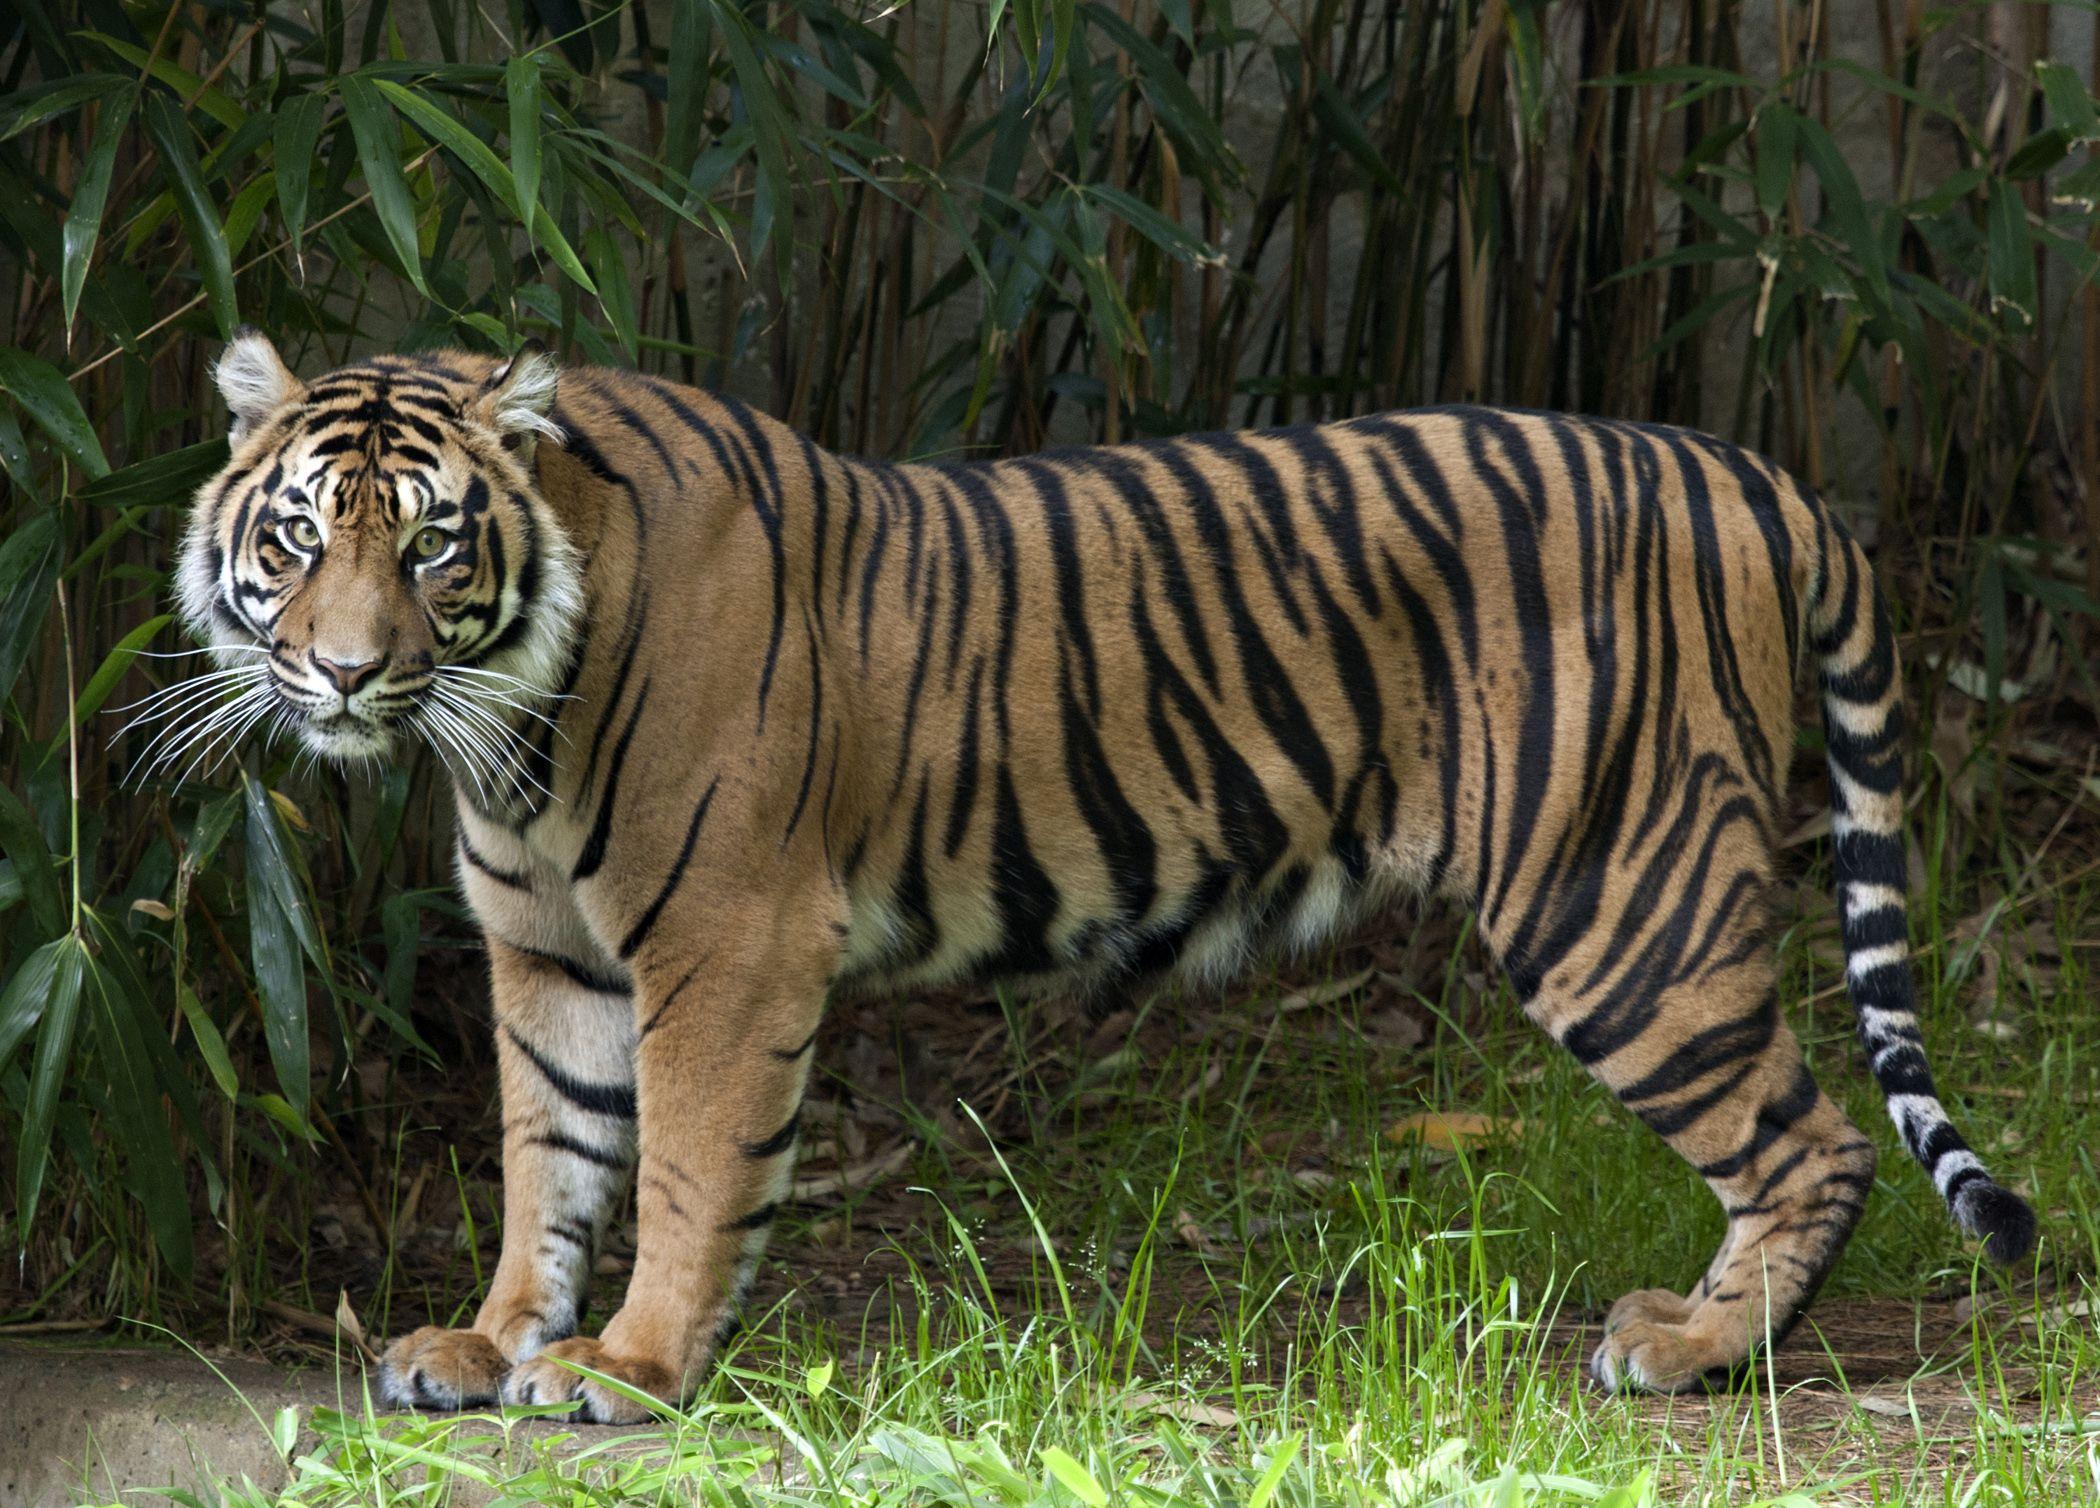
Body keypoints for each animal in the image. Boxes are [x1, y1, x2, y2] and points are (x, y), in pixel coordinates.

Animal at [170, 328, 2033, 1424]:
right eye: (301, 536)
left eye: (432, 543)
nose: (342, 672)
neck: (506, 719)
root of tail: (1749, 467)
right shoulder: (549, 954)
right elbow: (545, 1163)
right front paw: (488, 1345)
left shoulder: (725, 946)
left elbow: (689, 1168)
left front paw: (624, 1368)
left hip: (1618, 895)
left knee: (1811, 1141)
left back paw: (1698, 1350)